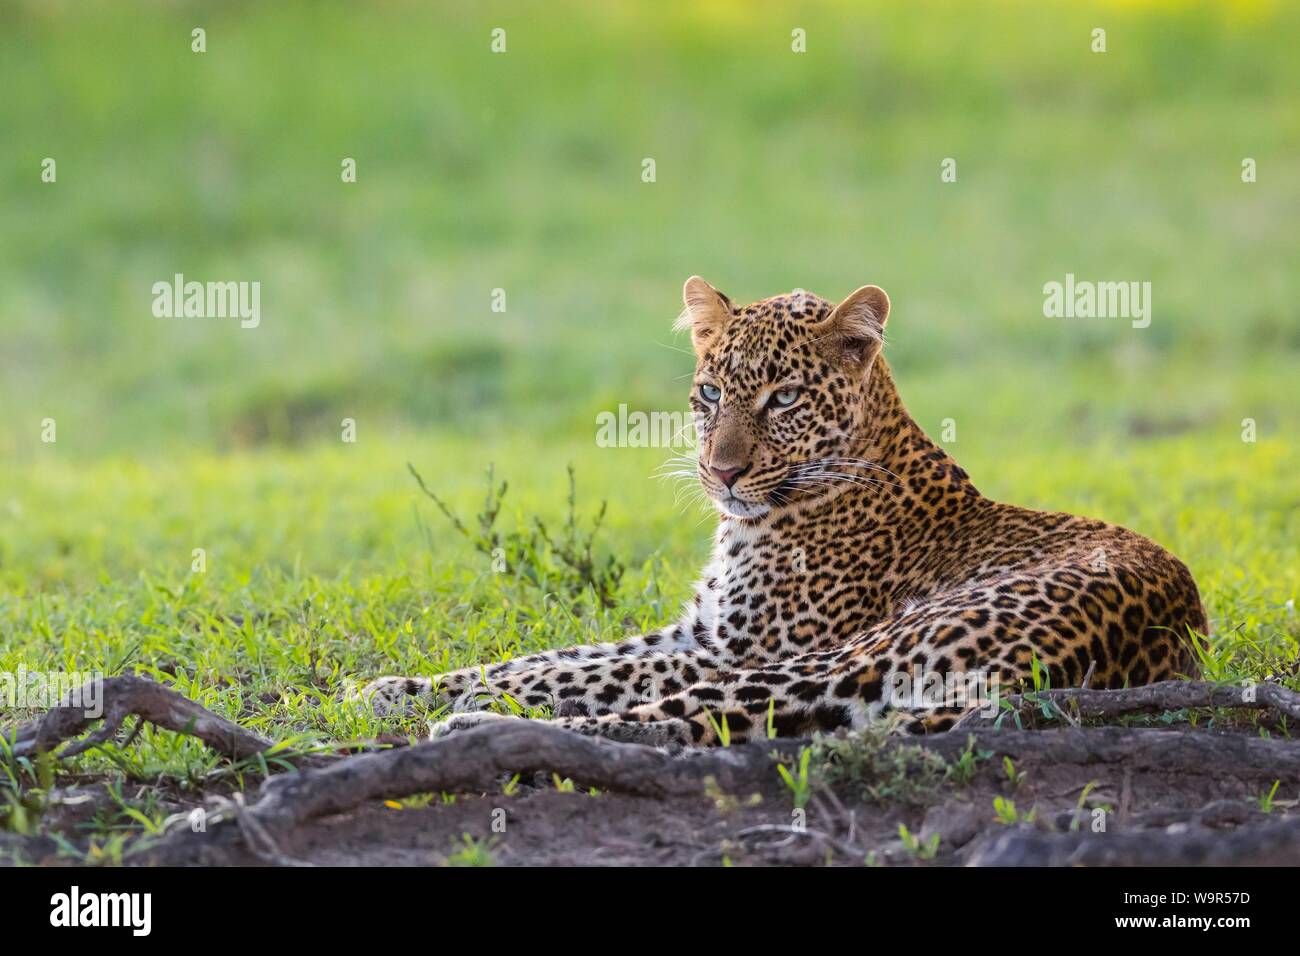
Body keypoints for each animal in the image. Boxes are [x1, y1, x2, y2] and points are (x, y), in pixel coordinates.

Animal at [362, 277, 1208, 748]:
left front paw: (421, 700)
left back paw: (470, 731)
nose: (721, 470)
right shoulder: (693, 631)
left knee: (686, 721)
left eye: (785, 398)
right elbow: (550, 659)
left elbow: (585, 675)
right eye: (709, 392)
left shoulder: (729, 650)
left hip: (846, 657)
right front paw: (398, 687)